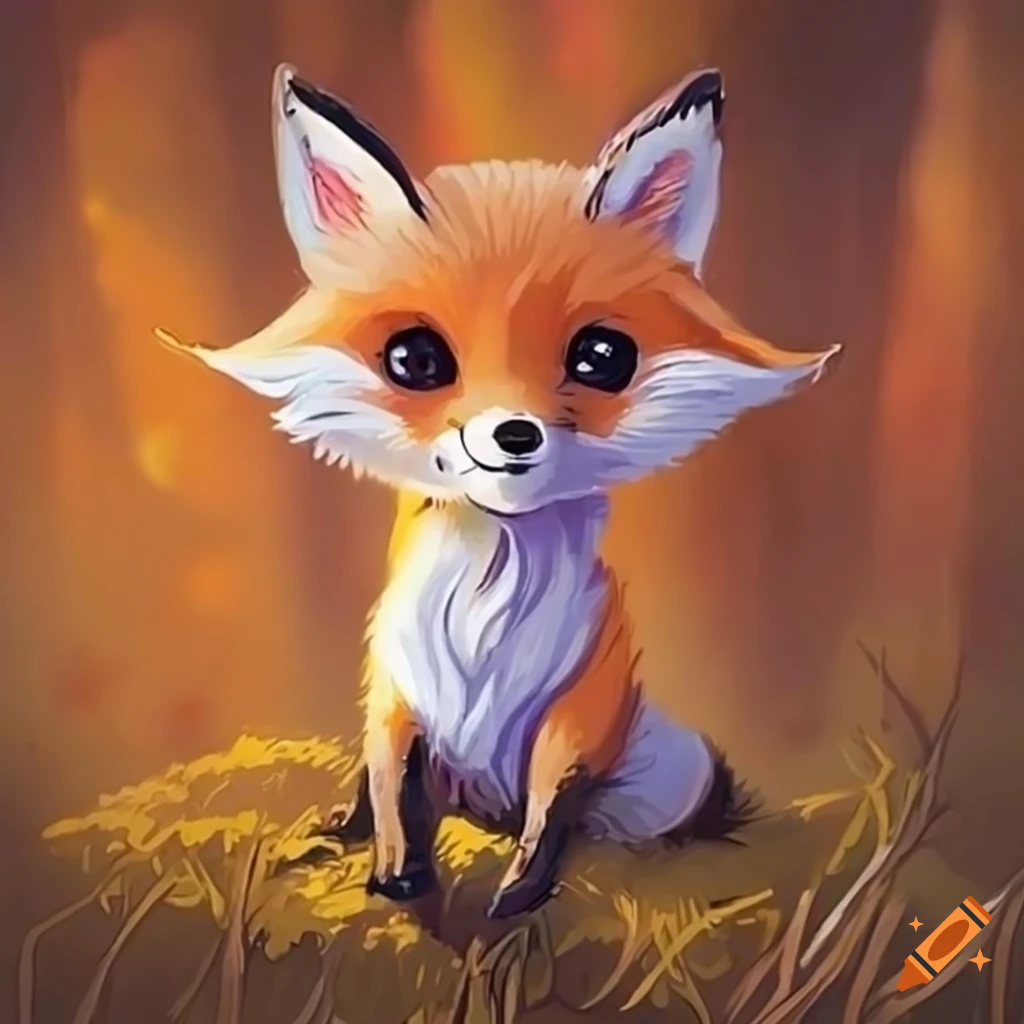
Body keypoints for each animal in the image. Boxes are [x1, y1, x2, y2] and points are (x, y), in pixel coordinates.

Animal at [160, 63, 840, 919]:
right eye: (415, 359)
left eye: (601, 357)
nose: (514, 435)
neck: (487, 600)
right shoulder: (396, 697)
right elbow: (392, 792)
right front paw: (396, 878)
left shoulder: (577, 710)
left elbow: (552, 808)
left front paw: (519, 896)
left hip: (665, 776)